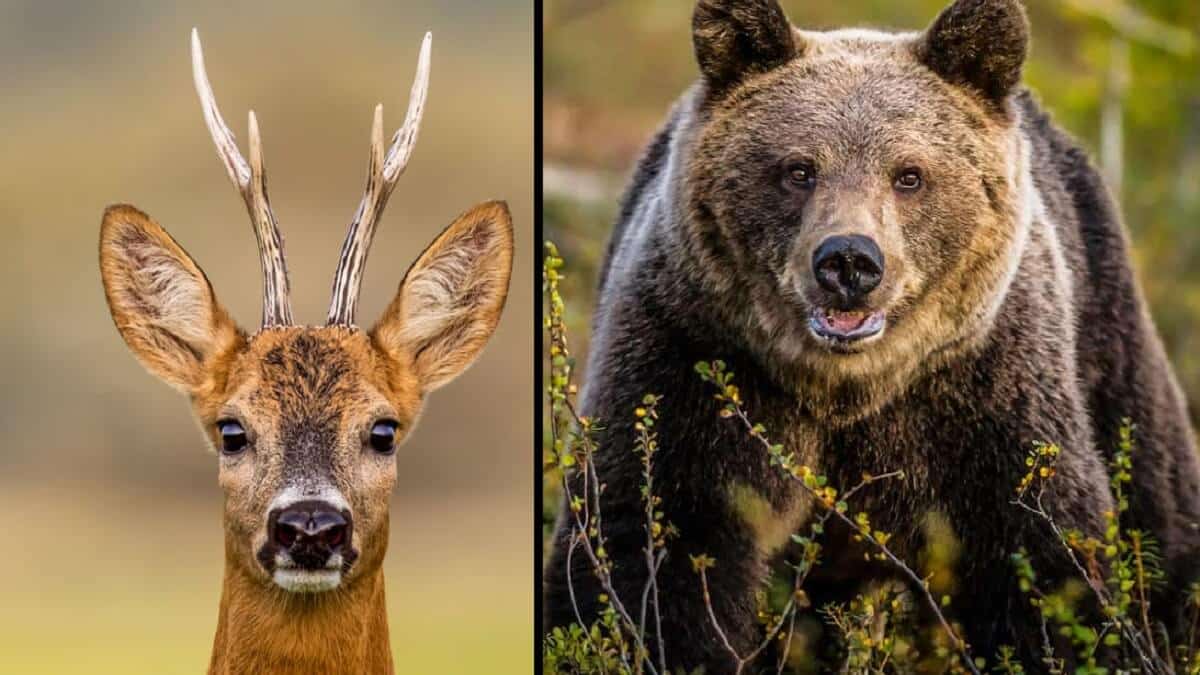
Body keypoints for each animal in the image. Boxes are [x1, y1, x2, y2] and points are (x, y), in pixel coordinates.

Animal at [543, 0, 1200, 671]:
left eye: (909, 175)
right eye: (799, 169)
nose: (849, 262)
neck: (849, 389)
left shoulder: (986, 395)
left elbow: (1047, 559)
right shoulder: (694, 358)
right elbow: (647, 543)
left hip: (1105, 325)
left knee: (1157, 501)